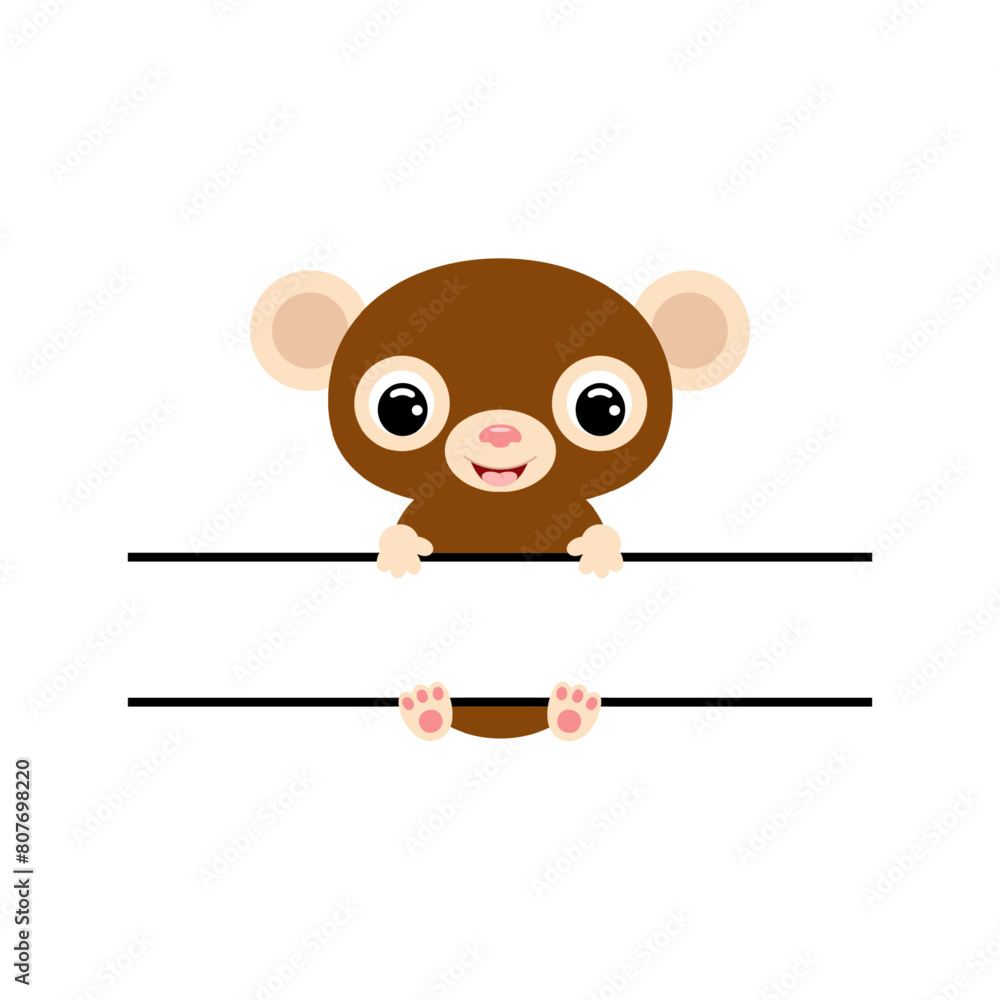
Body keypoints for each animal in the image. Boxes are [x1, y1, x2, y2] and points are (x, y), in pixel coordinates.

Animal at [250, 258, 749, 740]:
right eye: (401, 408)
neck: (500, 506)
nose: (500, 432)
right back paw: (429, 710)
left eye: (602, 408)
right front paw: (400, 553)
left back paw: (570, 710)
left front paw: (599, 553)